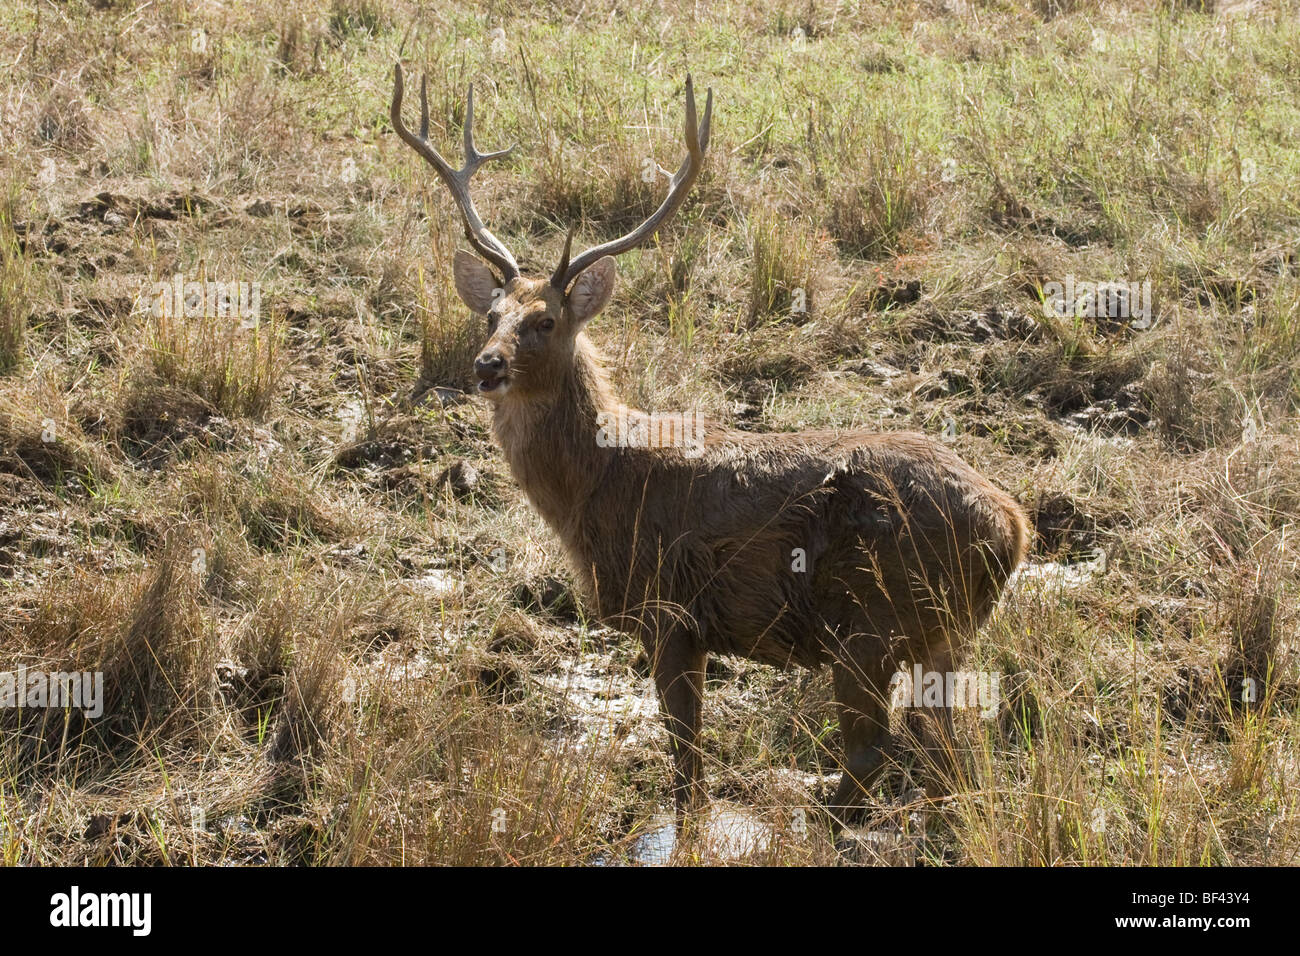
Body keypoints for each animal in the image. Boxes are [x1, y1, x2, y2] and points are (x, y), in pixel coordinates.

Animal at [391, 64, 1031, 828]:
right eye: (491, 314)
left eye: (544, 321)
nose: (486, 365)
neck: (596, 482)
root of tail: (1014, 528)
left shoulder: (668, 611)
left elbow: (687, 763)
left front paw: (685, 828)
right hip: (940, 635)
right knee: (949, 751)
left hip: (873, 621)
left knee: (879, 750)